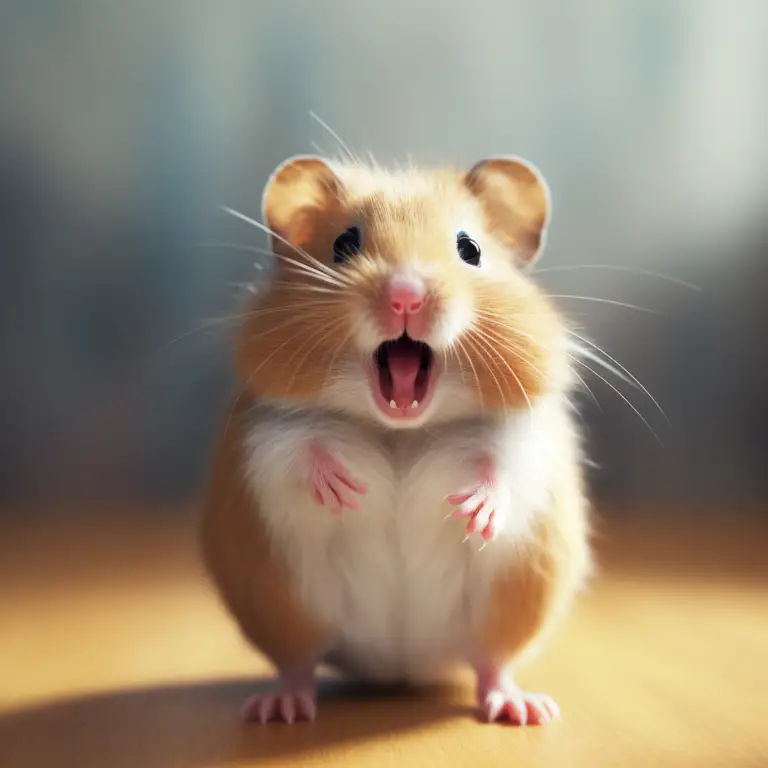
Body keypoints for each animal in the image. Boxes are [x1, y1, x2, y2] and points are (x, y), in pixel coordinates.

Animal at [200, 154, 592, 726]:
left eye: (470, 249)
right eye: (344, 244)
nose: (405, 296)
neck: (401, 430)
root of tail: (399, 667)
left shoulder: (525, 434)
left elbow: (501, 468)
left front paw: (471, 512)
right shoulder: (264, 427)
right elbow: (299, 450)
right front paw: (343, 490)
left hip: (511, 610)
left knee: (492, 664)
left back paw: (522, 709)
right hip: (283, 610)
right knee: (297, 664)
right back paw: (279, 709)